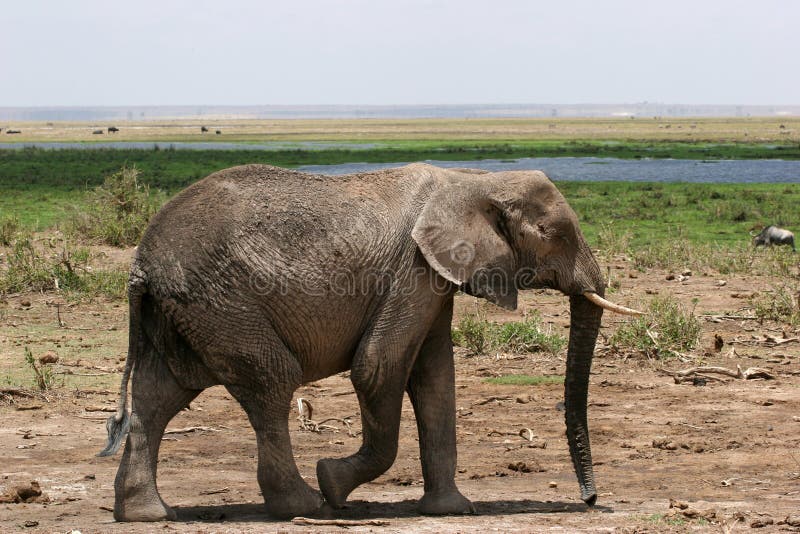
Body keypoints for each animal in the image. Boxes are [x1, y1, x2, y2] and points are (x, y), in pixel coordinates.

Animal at [99, 163, 642, 521]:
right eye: (553, 233)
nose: (591, 501)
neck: (475, 178)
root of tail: (140, 263)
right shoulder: (413, 268)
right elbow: (379, 366)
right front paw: (333, 484)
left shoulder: (434, 274)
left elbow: (435, 379)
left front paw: (451, 511)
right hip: (220, 302)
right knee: (271, 383)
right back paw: (306, 506)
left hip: (184, 311)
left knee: (158, 397)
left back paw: (148, 515)